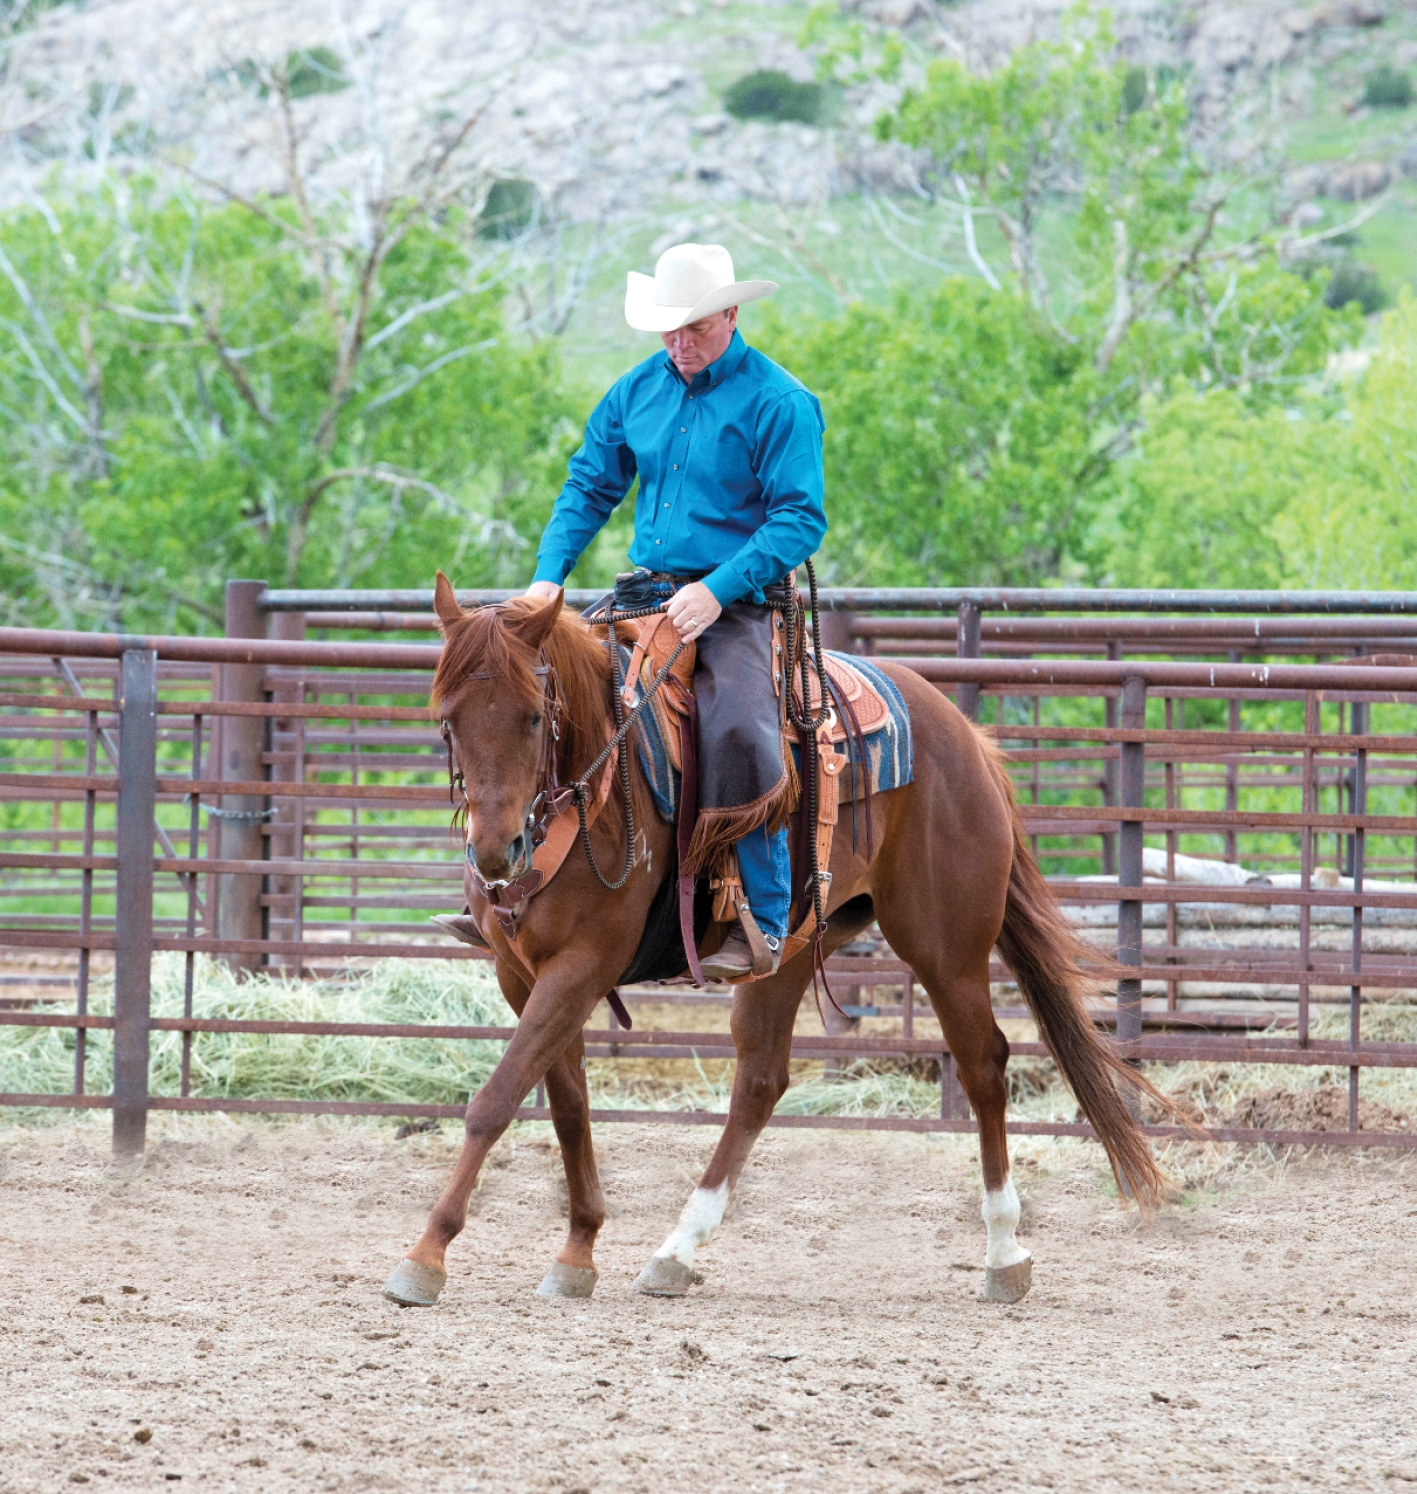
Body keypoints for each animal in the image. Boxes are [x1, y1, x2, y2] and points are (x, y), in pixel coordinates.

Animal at [381, 575, 1167, 1307]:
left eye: (531, 716)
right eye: (448, 719)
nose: (496, 854)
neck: (596, 788)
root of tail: (965, 735)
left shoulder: (580, 967)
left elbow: (495, 1099)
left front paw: (426, 1256)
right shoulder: (524, 974)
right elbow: (565, 1106)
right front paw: (577, 1253)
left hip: (946, 948)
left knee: (983, 1066)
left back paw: (1004, 1254)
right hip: (786, 951)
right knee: (760, 1082)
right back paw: (676, 1250)